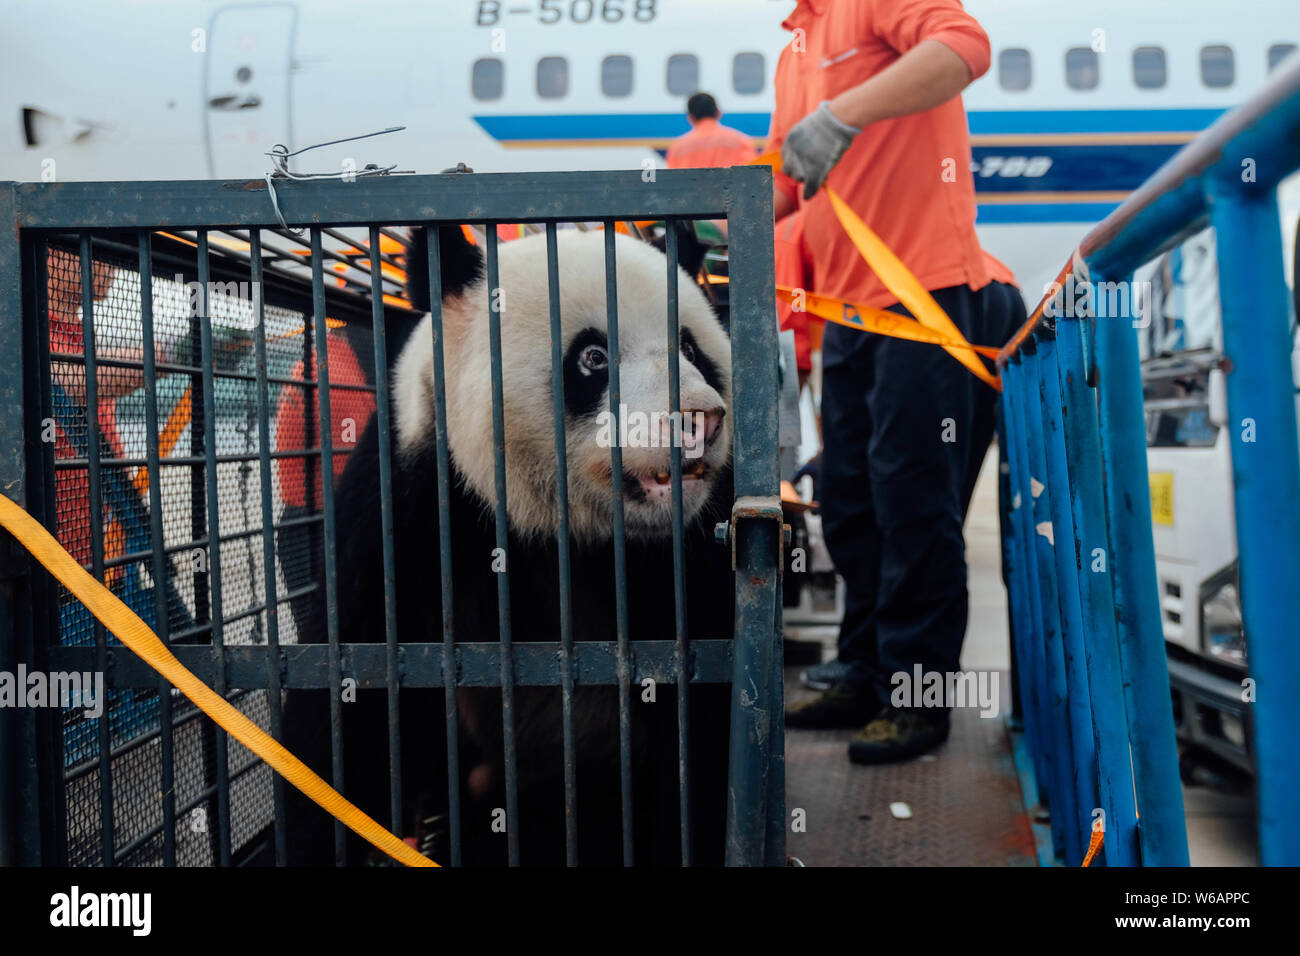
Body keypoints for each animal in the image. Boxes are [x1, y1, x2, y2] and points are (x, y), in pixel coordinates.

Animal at [283, 224, 737, 866]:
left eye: (691, 349)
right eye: (593, 357)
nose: (700, 419)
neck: (567, 531)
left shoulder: (693, 551)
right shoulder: (415, 503)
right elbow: (349, 686)